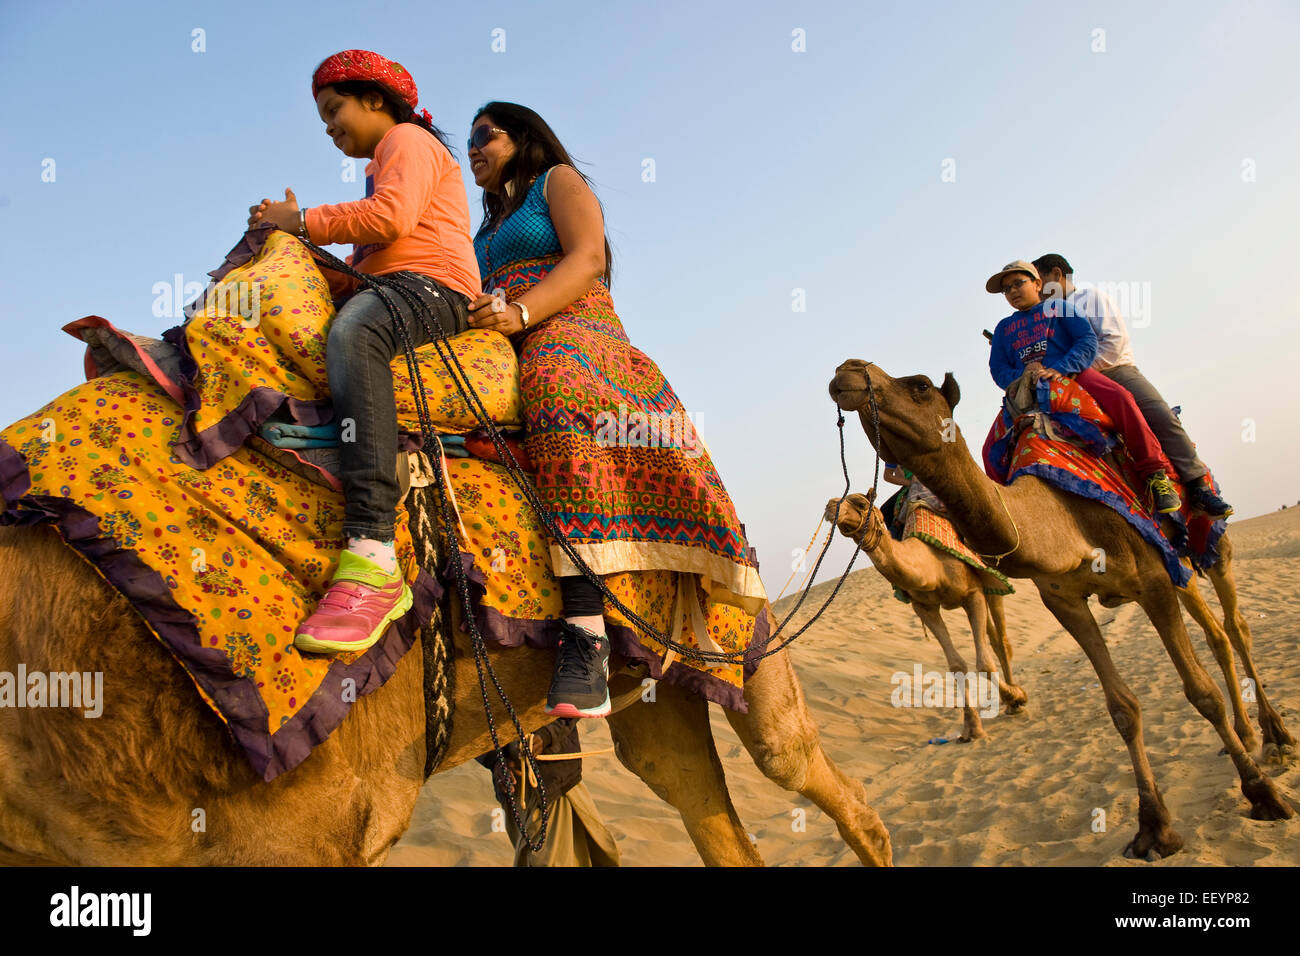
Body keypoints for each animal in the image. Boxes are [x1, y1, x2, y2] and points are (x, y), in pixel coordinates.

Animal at [822, 492, 1026, 741]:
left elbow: (984, 663)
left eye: (860, 503)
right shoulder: (924, 608)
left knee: (1001, 641)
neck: (932, 567)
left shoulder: (973, 593)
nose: (831, 506)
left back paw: (1015, 698)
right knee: (993, 636)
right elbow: (956, 664)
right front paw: (972, 727)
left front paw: (1015, 697)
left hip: (991, 580)